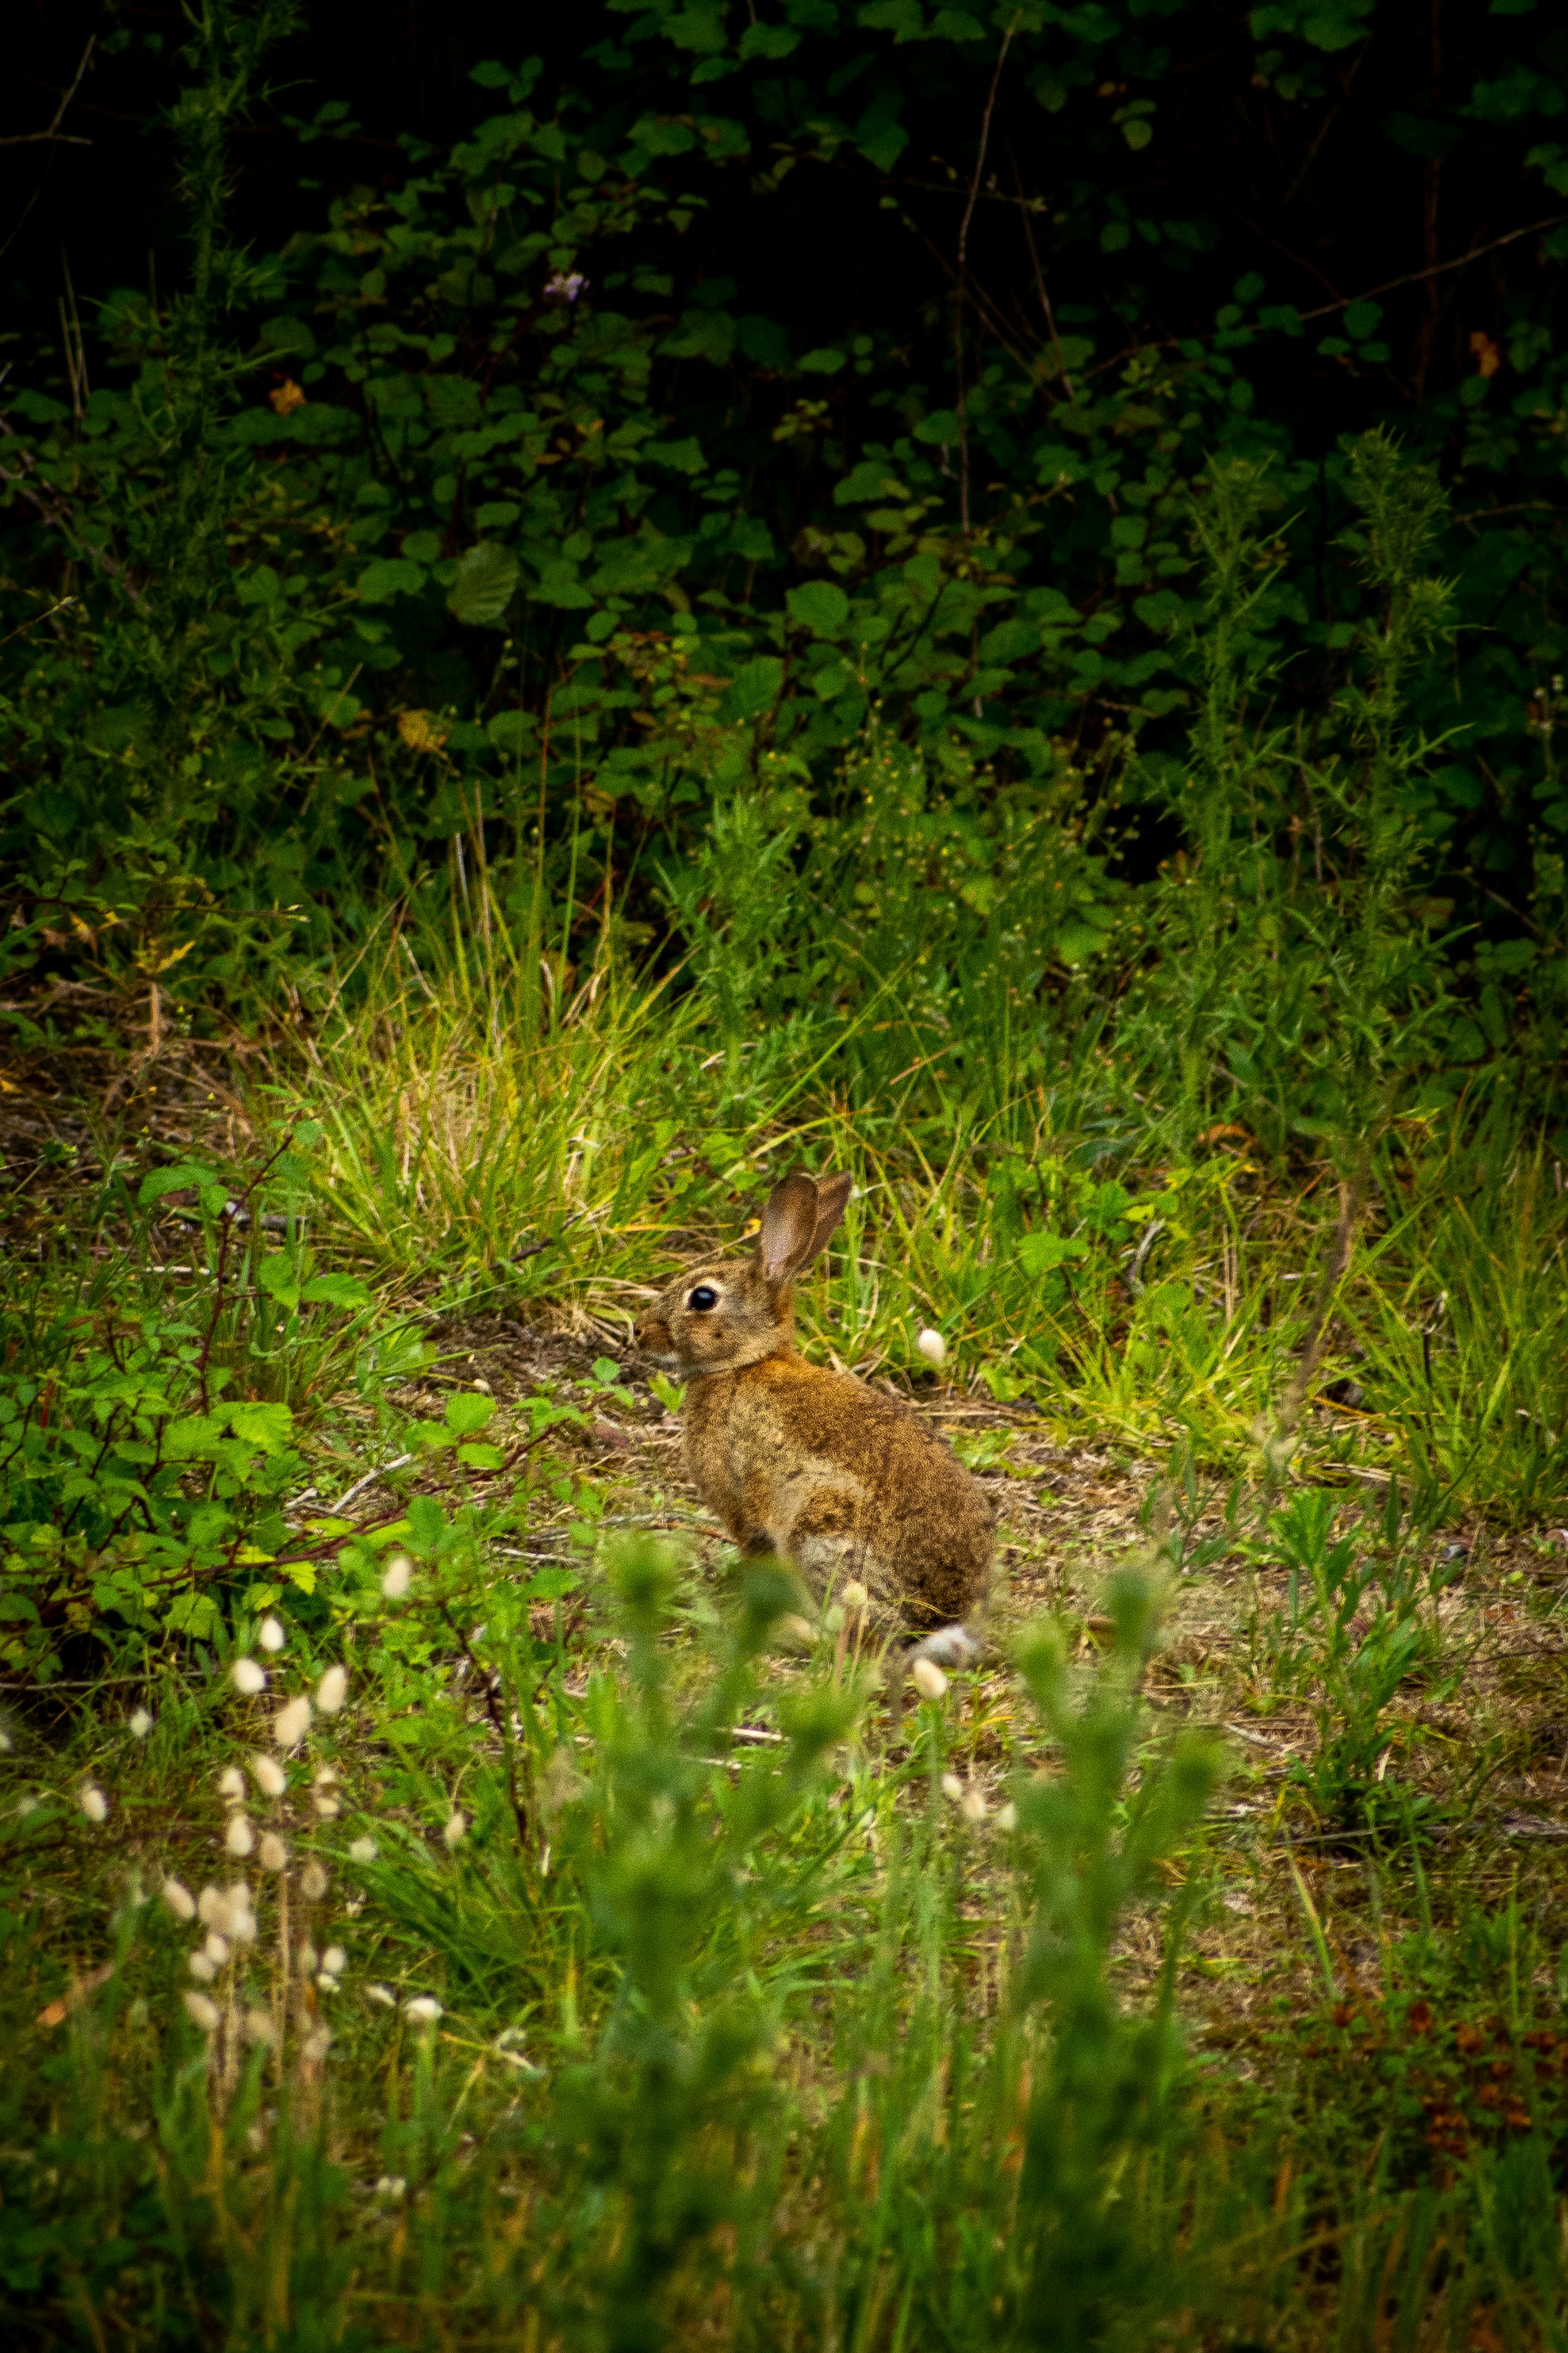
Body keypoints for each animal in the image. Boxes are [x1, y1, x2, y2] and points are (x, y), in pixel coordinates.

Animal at [633, 1167, 993, 1675]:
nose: (638, 1332)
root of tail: (941, 1624)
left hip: (820, 1534)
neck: (744, 1364)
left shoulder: (747, 1509)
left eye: (702, 1298)